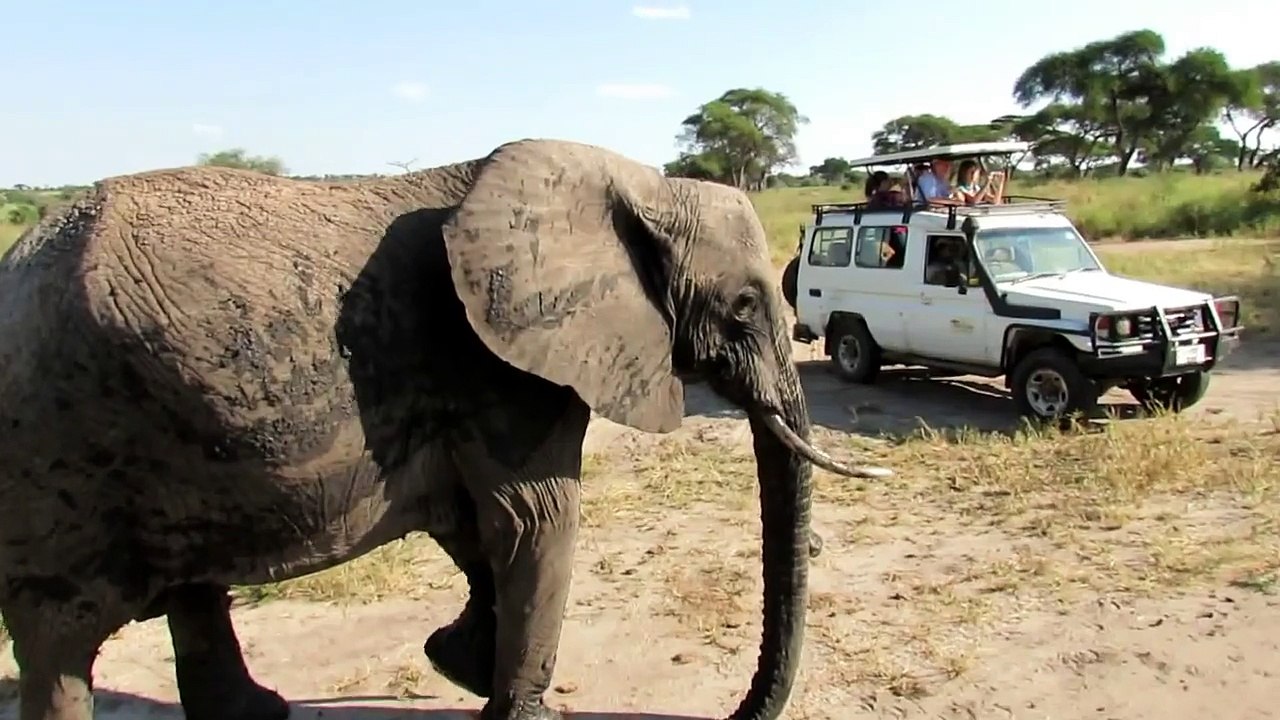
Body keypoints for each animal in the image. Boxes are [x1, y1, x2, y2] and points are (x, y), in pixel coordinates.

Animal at [0, 138, 891, 720]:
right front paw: (507, 701)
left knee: (190, 588)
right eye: (741, 307)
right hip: (58, 448)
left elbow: (479, 527)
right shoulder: (499, 358)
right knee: (57, 641)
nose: (739, 711)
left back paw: (258, 715)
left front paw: (457, 661)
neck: (637, 188)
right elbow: (534, 519)